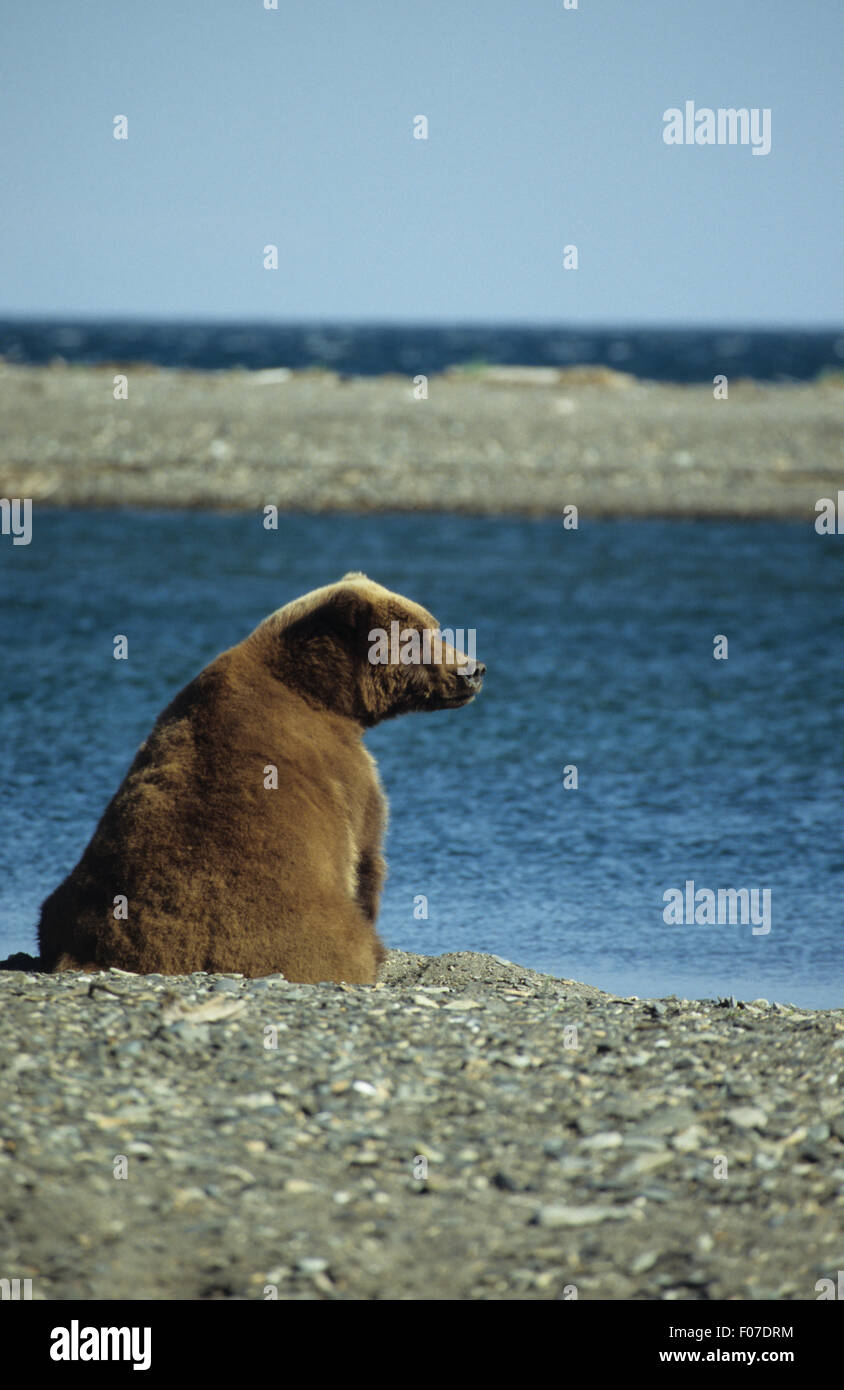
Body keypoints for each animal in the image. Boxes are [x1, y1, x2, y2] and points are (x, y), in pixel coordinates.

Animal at [37, 573, 484, 983]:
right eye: (417, 636)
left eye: (435, 627)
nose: (473, 669)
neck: (320, 690)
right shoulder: (348, 771)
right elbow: (367, 854)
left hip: (74, 903)